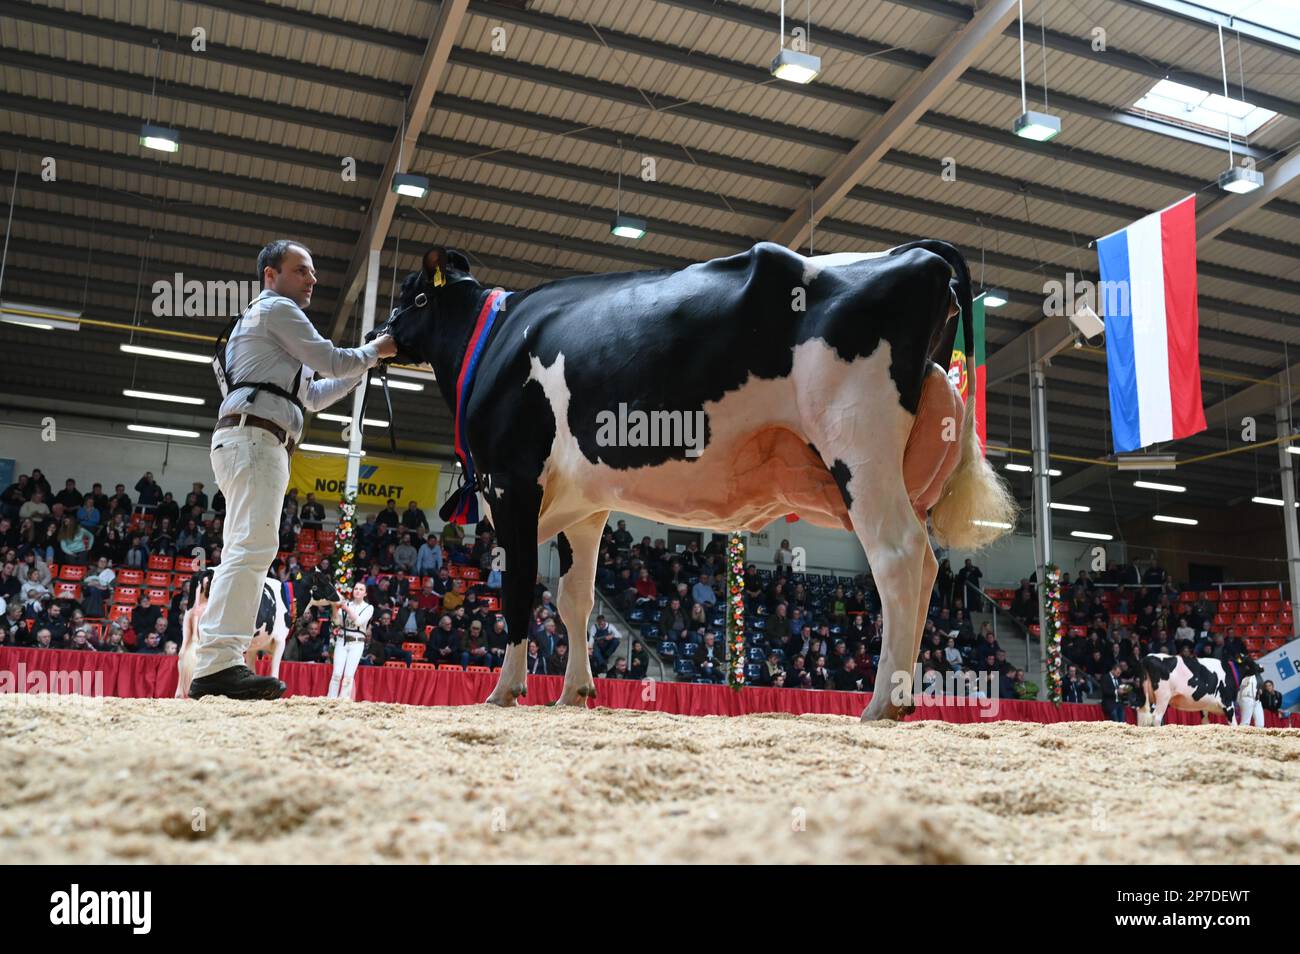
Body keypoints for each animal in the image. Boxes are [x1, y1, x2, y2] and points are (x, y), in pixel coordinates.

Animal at [176, 568, 340, 698]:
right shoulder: (279, 640)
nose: (340, 596)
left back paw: (179, 694)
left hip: (188, 624)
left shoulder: (253, 647)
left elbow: (252, 666)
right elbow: (275, 667)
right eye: (326, 581)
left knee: (183, 655)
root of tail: (208, 571)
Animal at [373, 241, 1015, 720]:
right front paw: (575, 692)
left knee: (897, 556)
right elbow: (576, 598)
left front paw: (504, 690)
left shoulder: (510, 481)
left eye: (411, 293)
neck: (496, 339)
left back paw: (883, 702)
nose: (380, 334)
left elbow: (519, 588)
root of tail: (916, 253)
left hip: (860, 446)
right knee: (927, 564)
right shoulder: (585, 505)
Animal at [1136, 652, 1264, 726]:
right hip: (1163, 696)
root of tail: (1147, 658)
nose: (1261, 667)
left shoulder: (1205, 705)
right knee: (1156, 717)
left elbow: (1205, 722)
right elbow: (1234, 724)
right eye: (1251, 662)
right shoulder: (1228, 703)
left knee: (1142, 716)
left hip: (1145, 696)